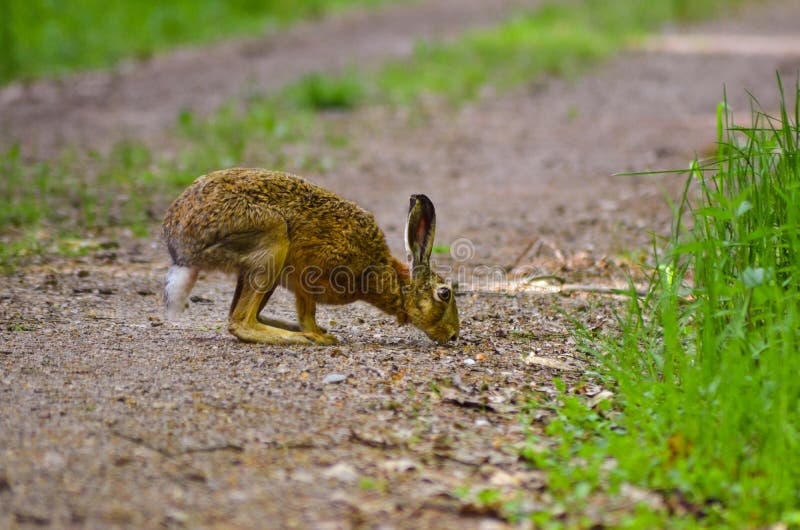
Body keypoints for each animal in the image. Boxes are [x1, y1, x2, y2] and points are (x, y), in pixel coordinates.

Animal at [161, 168, 459, 345]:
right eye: (444, 294)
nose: (455, 335)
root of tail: (180, 247)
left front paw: (320, 333)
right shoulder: (311, 277)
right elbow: (307, 312)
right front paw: (319, 335)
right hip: (272, 241)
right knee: (240, 322)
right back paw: (301, 337)